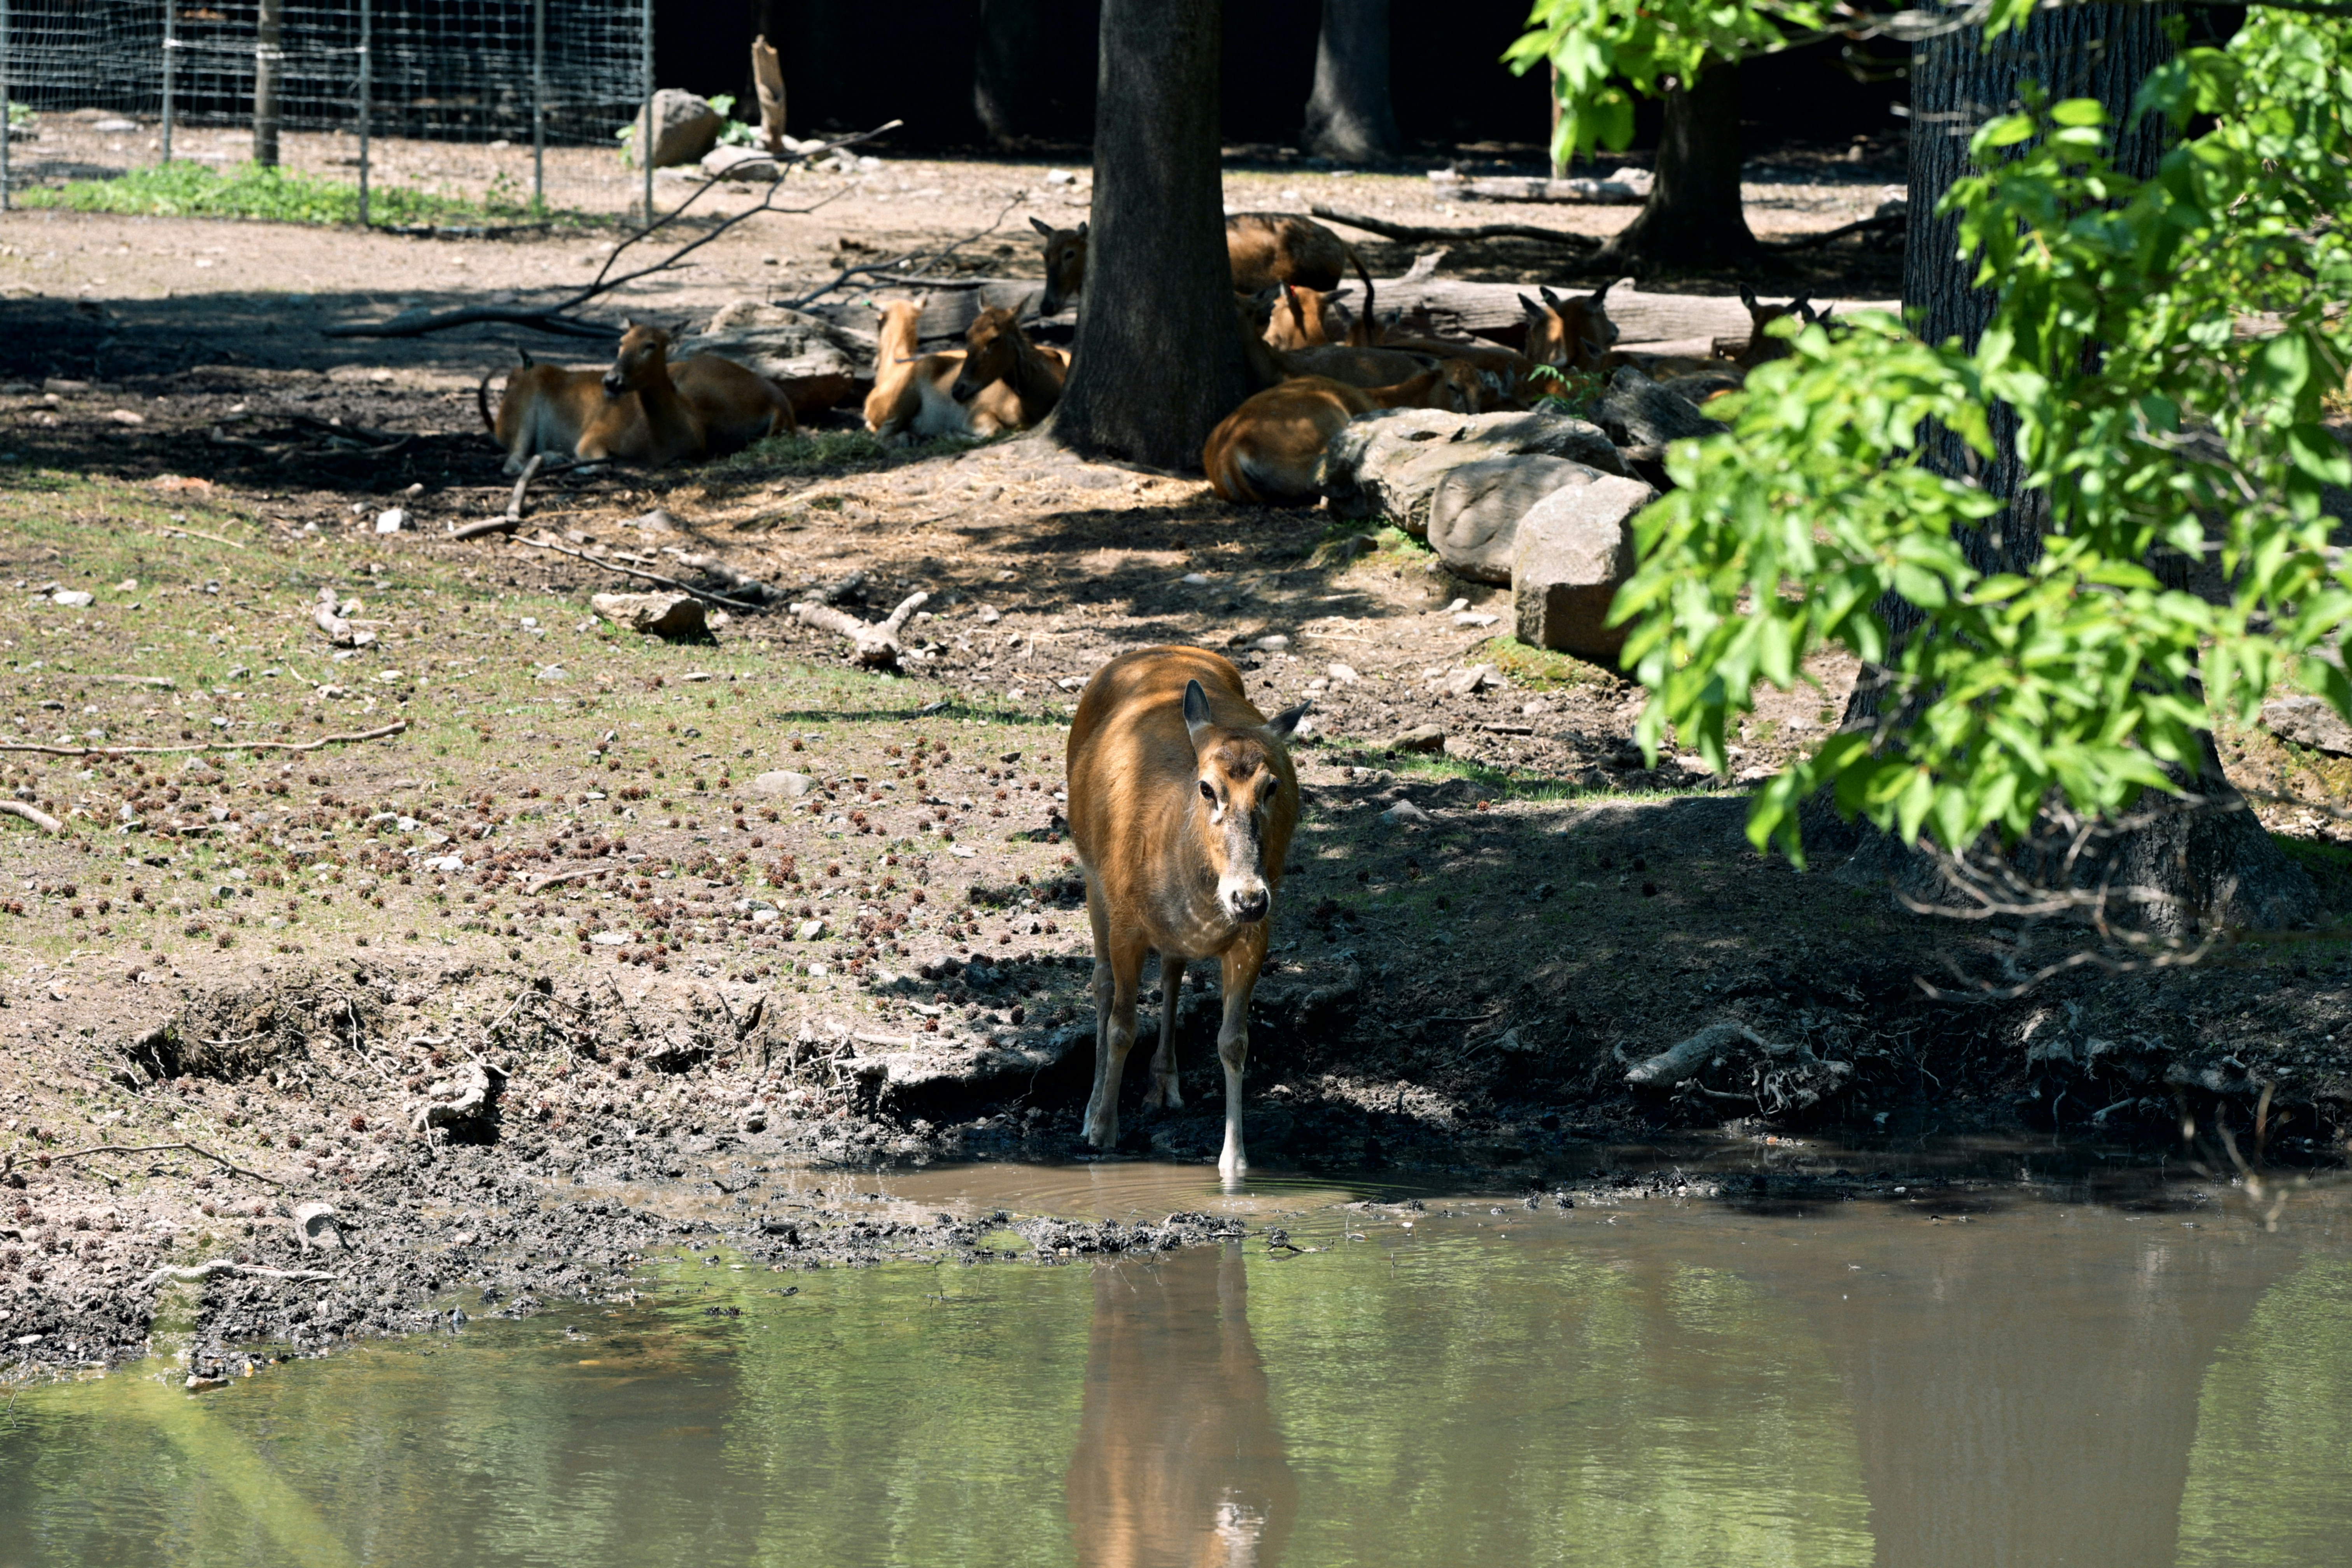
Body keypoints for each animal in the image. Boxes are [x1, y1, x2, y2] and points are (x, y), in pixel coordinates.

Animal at [1066, 646, 1308, 1181]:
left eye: (1272, 786)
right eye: (1207, 788)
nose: (1249, 897)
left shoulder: (1254, 937)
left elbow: (1234, 1041)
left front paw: (1235, 1161)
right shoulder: (1126, 919)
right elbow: (1122, 1026)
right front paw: (1103, 1131)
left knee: (1173, 969)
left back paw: (1164, 1084)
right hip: (1092, 875)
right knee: (1100, 983)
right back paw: (1091, 1108)